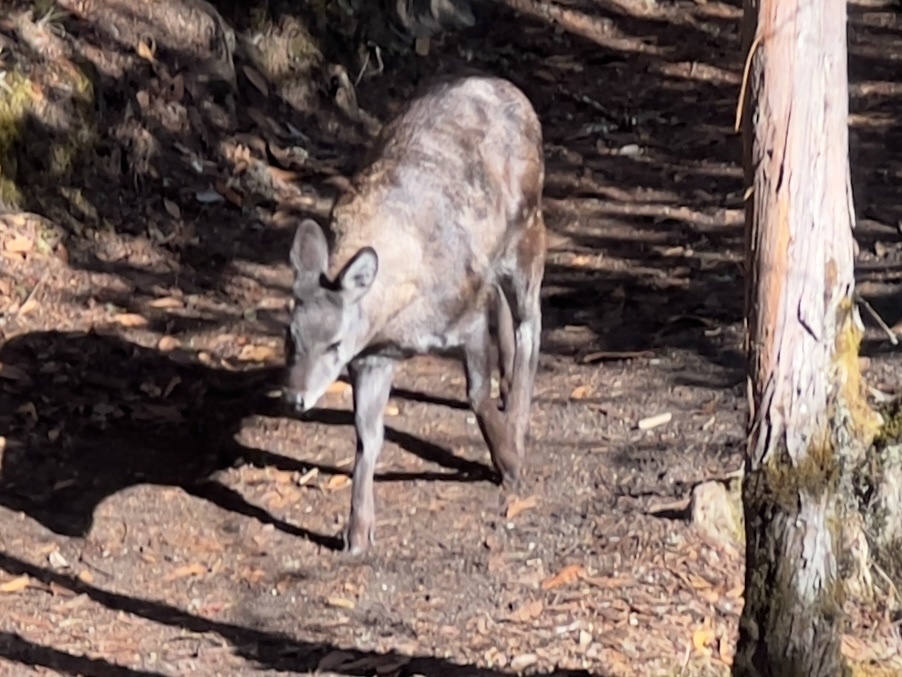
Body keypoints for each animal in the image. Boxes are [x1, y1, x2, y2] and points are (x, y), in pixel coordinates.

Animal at [283, 74, 546, 555]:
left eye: (334, 343)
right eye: (288, 335)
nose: (293, 399)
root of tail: (510, 89)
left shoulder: (465, 313)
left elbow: (475, 393)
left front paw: (509, 465)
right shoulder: (372, 358)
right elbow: (367, 435)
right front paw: (357, 532)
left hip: (529, 228)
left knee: (529, 322)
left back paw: (517, 422)